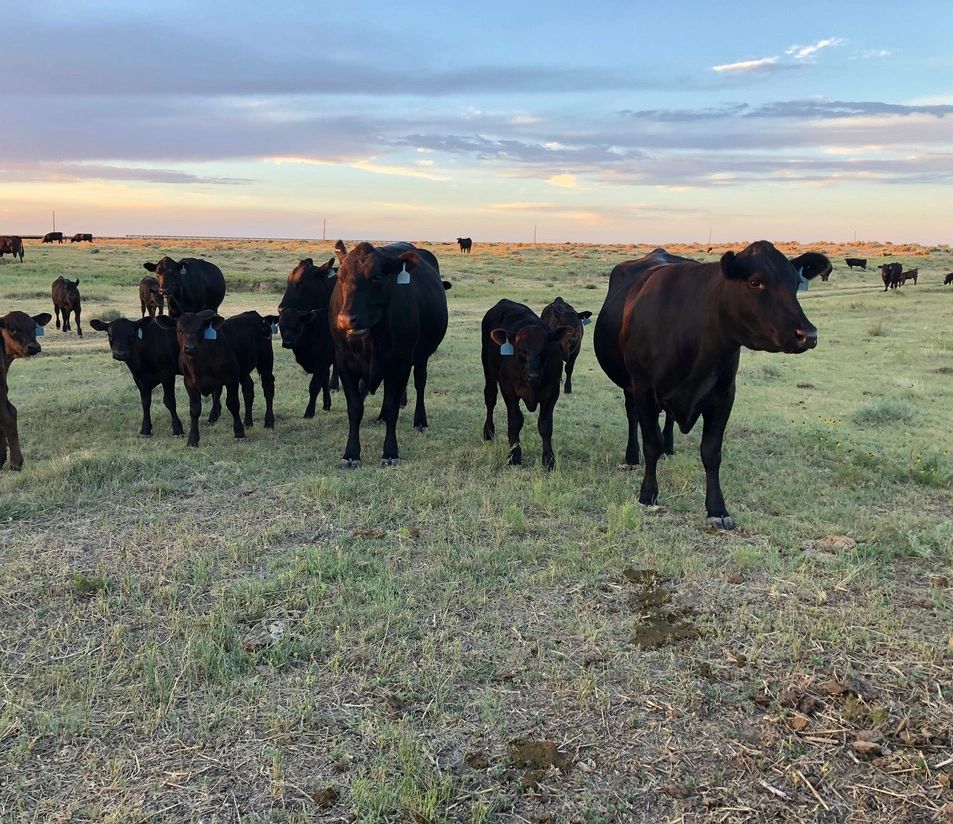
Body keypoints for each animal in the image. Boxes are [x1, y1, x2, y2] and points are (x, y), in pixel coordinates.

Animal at [156, 310, 275, 447]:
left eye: (201, 330)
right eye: (180, 330)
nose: (190, 348)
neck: (200, 363)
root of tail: (256, 315)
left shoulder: (231, 378)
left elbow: (233, 404)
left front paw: (239, 433)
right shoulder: (189, 383)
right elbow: (195, 409)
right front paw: (192, 439)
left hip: (266, 360)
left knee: (268, 387)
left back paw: (269, 422)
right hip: (243, 369)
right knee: (248, 389)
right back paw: (248, 422)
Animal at [330, 241, 447, 467]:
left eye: (376, 277)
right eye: (340, 277)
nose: (346, 320)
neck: (371, 338)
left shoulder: (401, 363)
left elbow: (394, 406)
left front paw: (391, 452)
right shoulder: (343, 363)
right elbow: (355, 408)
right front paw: (351, 454)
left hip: (421, 357)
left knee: (420, 383)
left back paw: (420, 421)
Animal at [482, 300, 575, 470]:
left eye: (544, 349)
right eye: (520, 350)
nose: (533, 375)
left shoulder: (553, 391)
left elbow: (545, 425)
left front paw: (549, 460)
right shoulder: (508, 389)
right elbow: (515, 421)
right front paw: (514, 456)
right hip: (488, 371)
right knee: (490, 399)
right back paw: (488, 432)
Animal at [593, 241, 830, 530]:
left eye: (796, 282)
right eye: (755, 282)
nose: (808, 335)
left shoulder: (723, 396)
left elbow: (711, 452)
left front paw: (717, 508)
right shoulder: (644, 390)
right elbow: (651, 443)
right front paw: (647, 494)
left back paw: (669, 448)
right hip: (630, 386)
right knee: (632, 416)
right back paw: (631, 456)